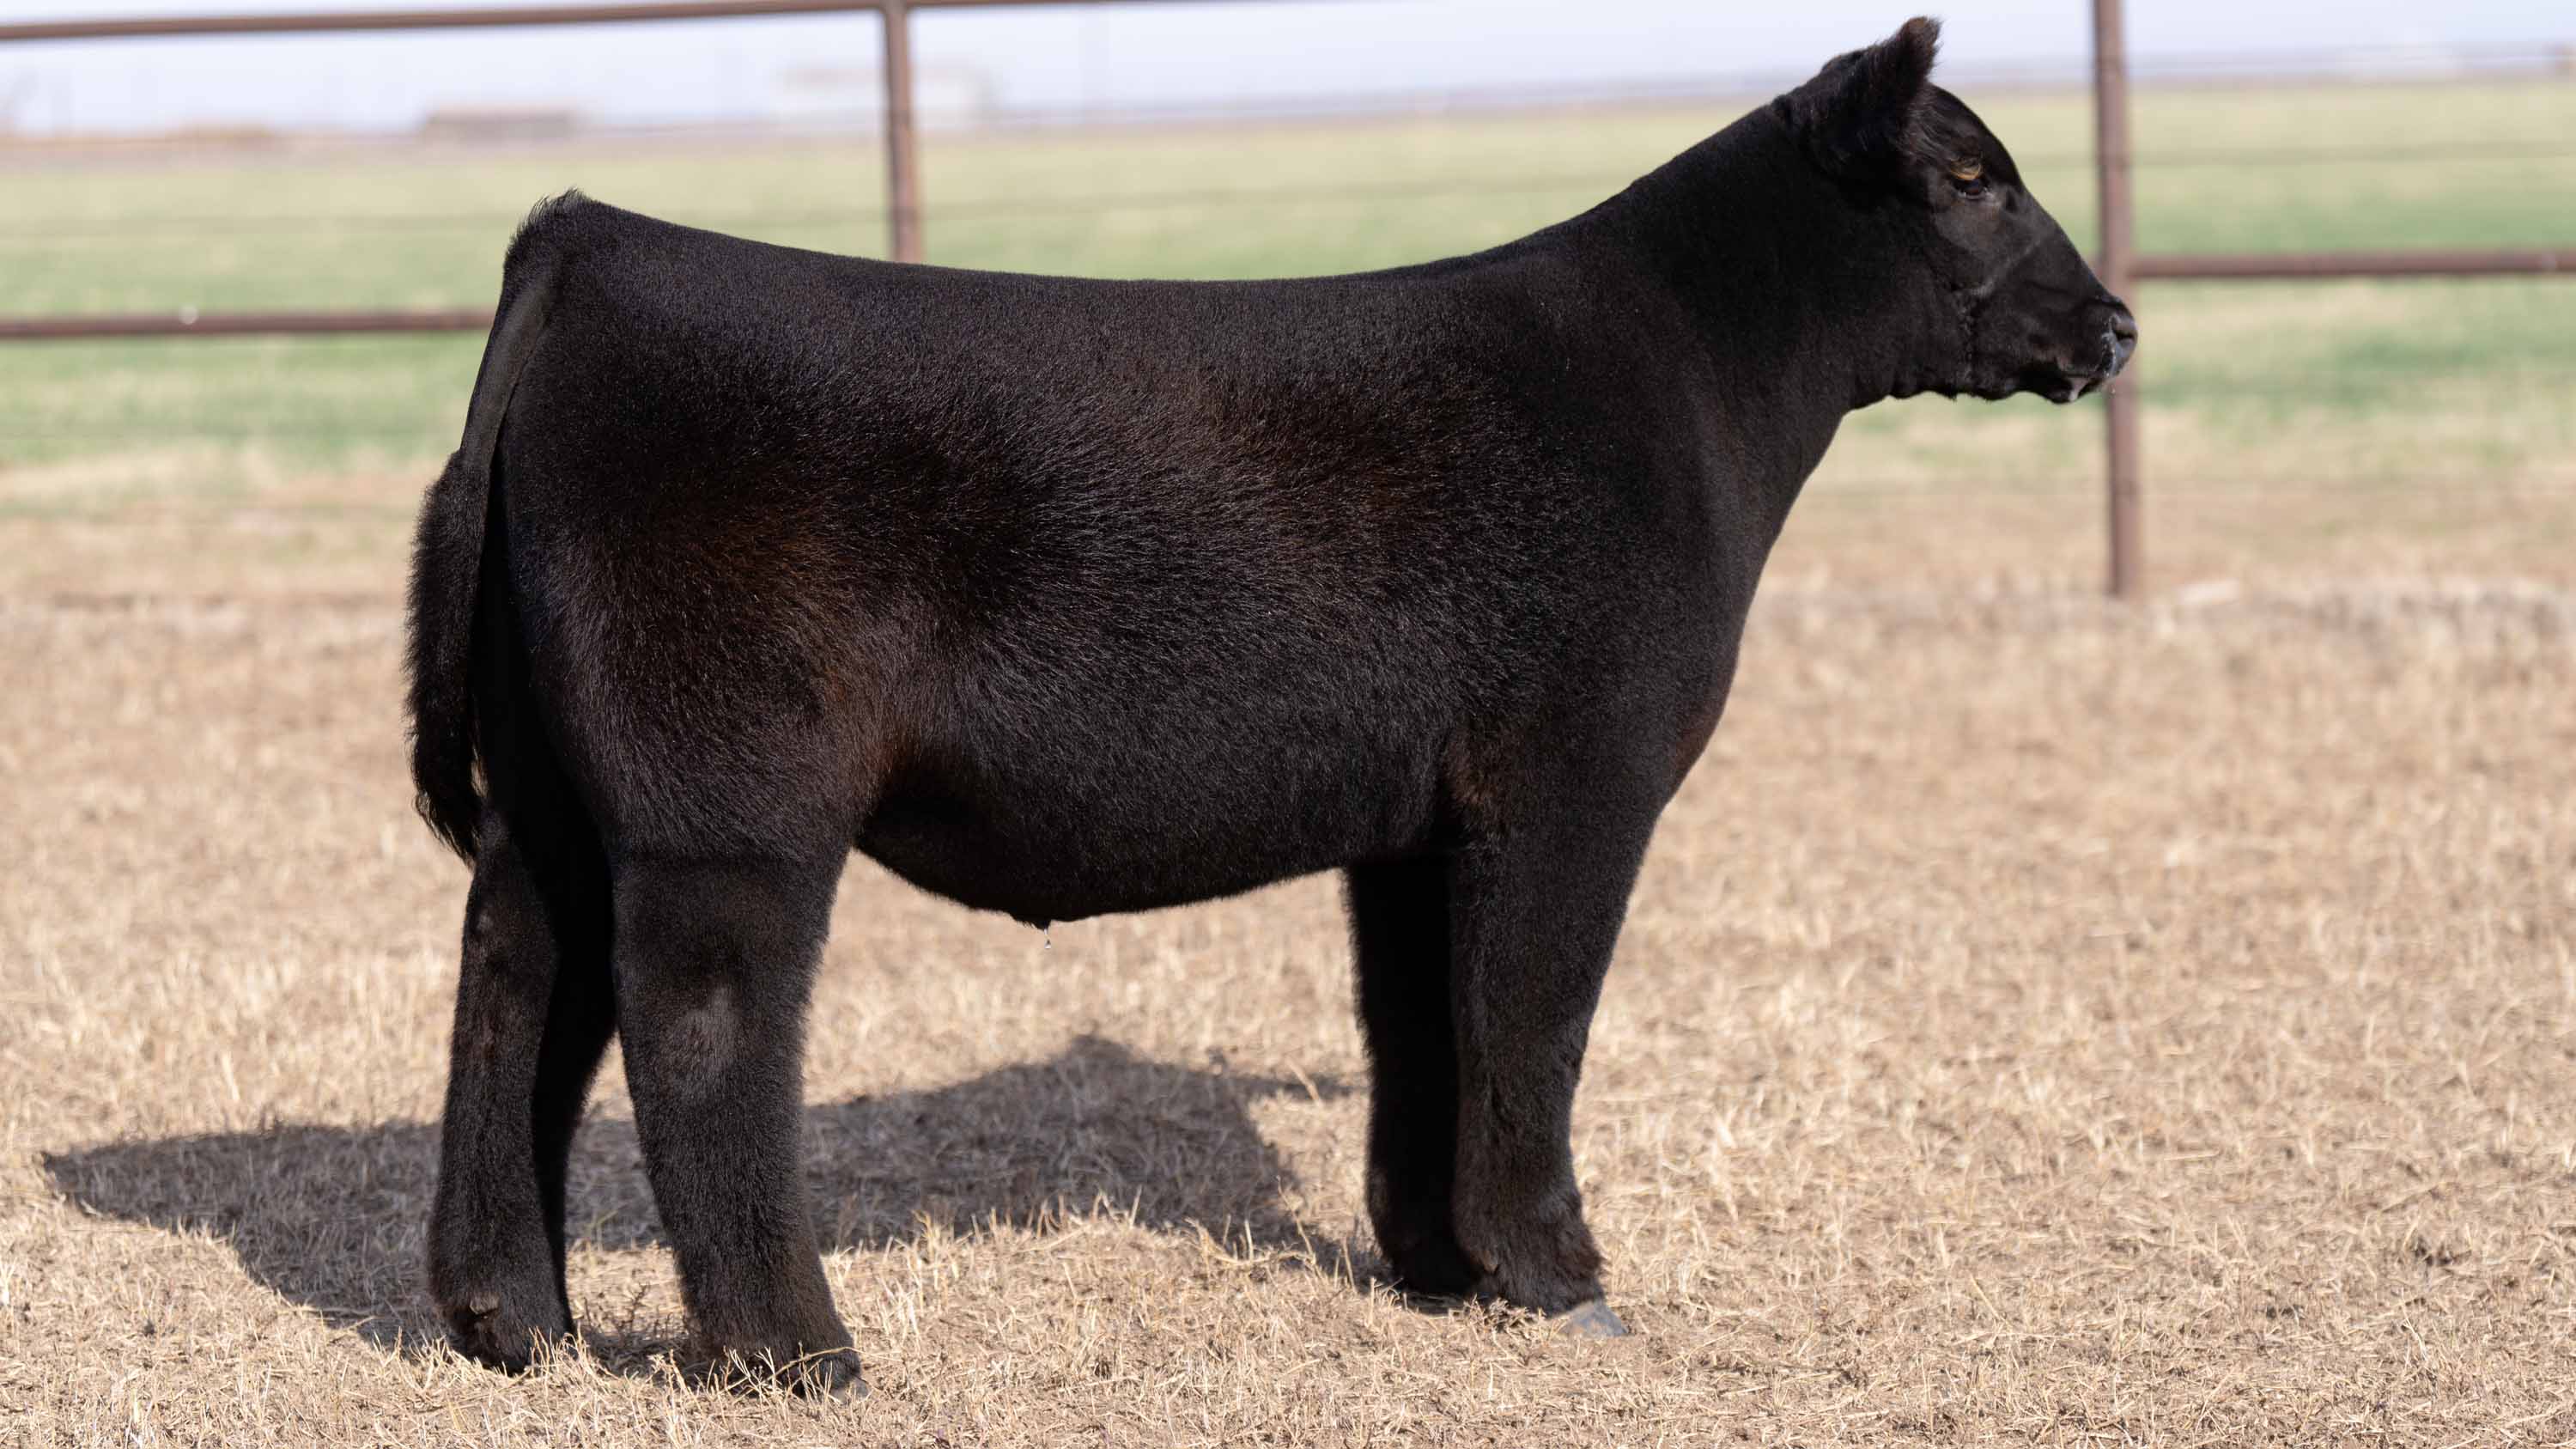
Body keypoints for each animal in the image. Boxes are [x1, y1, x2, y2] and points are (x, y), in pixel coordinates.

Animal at [406, 17, 2134, 1397]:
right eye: (1967, 175)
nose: (2114, 323)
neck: (1691, 385)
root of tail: (584, 246)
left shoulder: (1417, 816)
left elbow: (1426, 1023)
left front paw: (1445, 1268)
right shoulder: (1575, 773)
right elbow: (1537, 1017)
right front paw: (1564, 1281)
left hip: (553, 782)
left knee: (517, 968)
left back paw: (515, 1321)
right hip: (728, 796)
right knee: (695, 1018)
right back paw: (800, 1353)